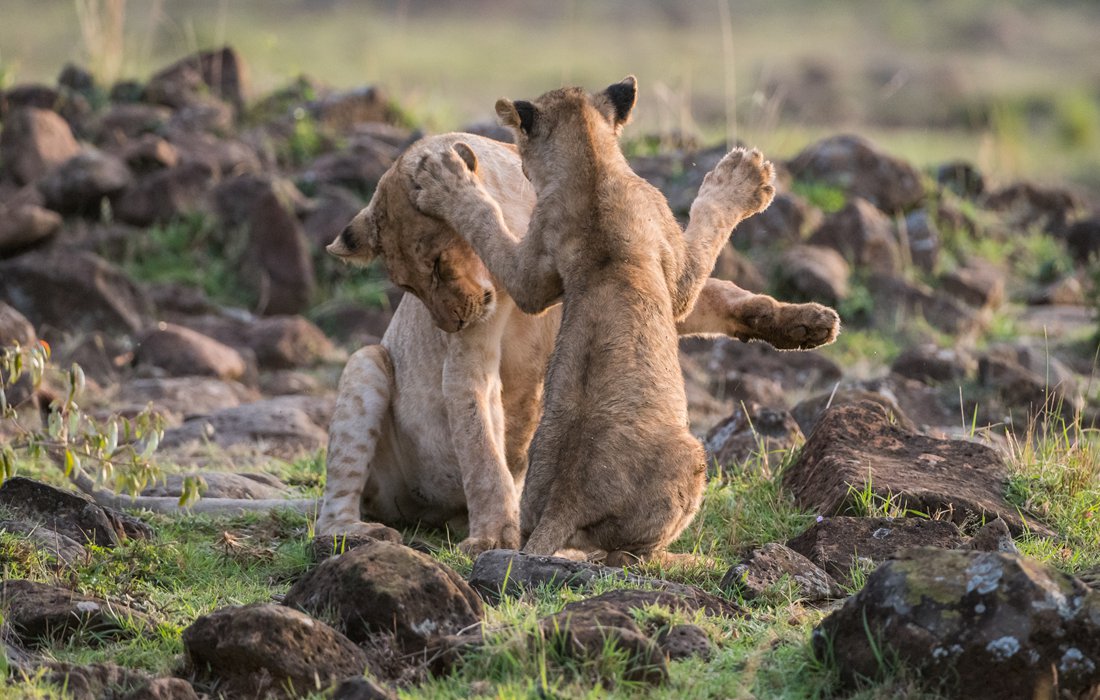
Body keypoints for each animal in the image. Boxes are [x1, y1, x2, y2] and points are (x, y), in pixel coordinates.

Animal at [318, 130, 839, 556]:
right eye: (405, 286)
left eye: (437, 264)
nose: (452, 323)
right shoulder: (470, 359)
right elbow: (482, 453)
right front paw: (494, 536)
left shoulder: (642, 276)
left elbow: (719, 292)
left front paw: (807, 323)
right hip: (366, 362)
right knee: (332, 509)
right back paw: (363, 533)